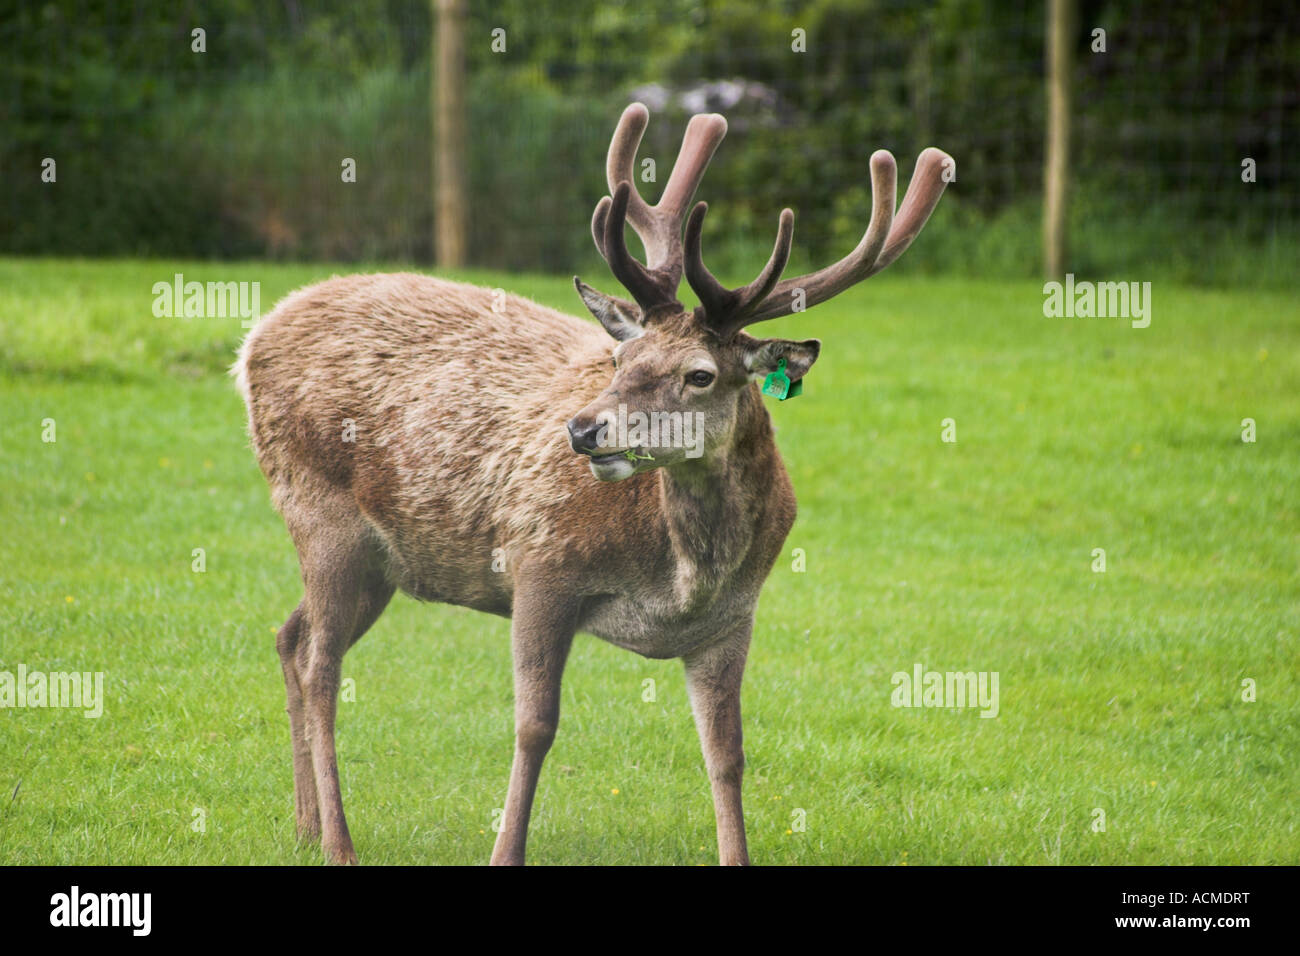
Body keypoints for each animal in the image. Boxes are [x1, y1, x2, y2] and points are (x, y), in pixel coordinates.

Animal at [234, 102, 951, 865]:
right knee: (322, 668)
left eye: (700, 374)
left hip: (386, 561)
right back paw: (339, 843)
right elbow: (535, 726)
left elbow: (727, 754)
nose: (581, 430)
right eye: (618, 358)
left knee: (292, 637)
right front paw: (505, 852)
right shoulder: (540, 564)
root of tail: (252, 340)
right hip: (318, 511)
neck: (680, 573)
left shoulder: (733, 619)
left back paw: (305, 826)